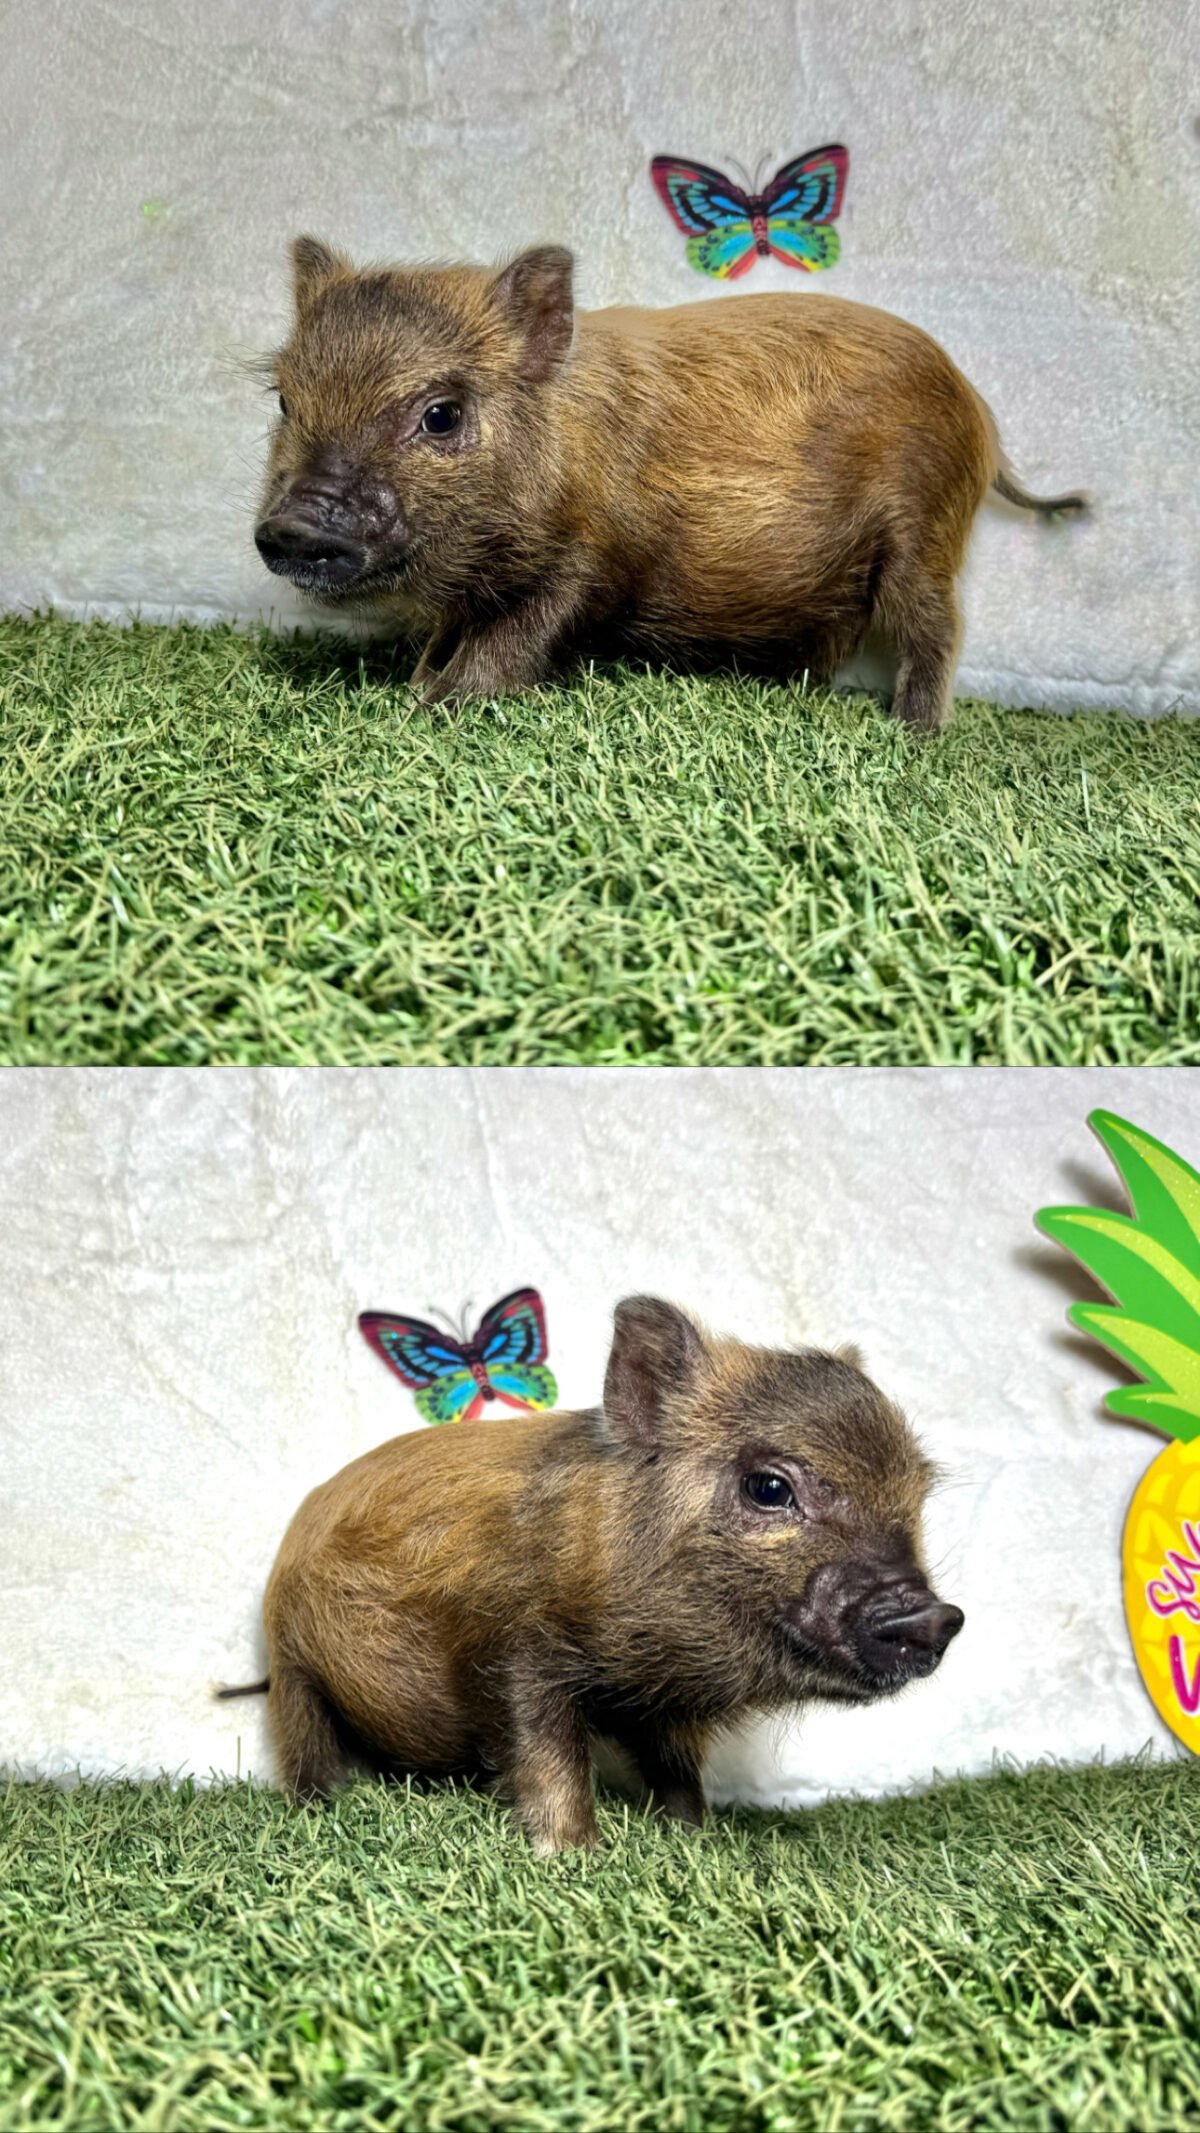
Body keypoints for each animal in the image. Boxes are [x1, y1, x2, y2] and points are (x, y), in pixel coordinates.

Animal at [226, 1298, 963, 1852]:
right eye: (769, 1487)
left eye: (918, 1493)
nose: (936, 1615)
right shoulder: (521, 1653)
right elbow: (551, 1756)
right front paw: (572, 1855)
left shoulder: (664, 1708)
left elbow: (676, 1773)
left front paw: (695, 1839)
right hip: (294, 1670)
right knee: (306, 1755)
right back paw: (320, 1811)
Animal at [253, 237, 1084, 732]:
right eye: (287, 400)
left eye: (441, 415)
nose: (291, 527)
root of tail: (978, 410)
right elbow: (448, 637)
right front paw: (415, 689)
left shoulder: (590, 561)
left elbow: (514, 640)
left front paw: (437, 711)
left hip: (924, 534)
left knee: (936, 627)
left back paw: (911, 732)